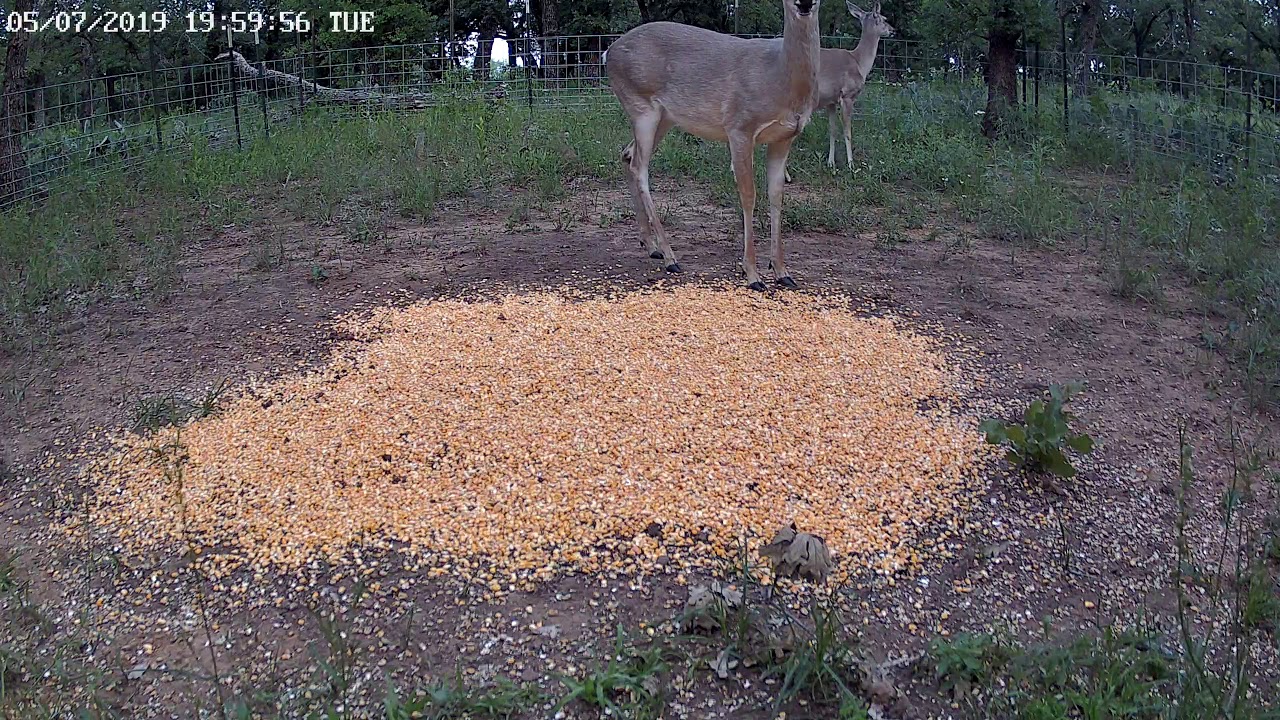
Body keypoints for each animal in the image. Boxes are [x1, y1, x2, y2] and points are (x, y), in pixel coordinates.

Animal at [605, 0, 823, 291]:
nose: (804, 3)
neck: (779, 78)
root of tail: (609, 52)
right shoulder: (739, 127)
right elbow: (748, 194)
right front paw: (752, 273)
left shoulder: (784, 138)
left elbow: (776, 194)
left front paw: (782, 271)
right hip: (641, 105)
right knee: (640, 166)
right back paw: (670, 257)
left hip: (664, 117)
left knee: (628, 154)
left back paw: (651, 246)